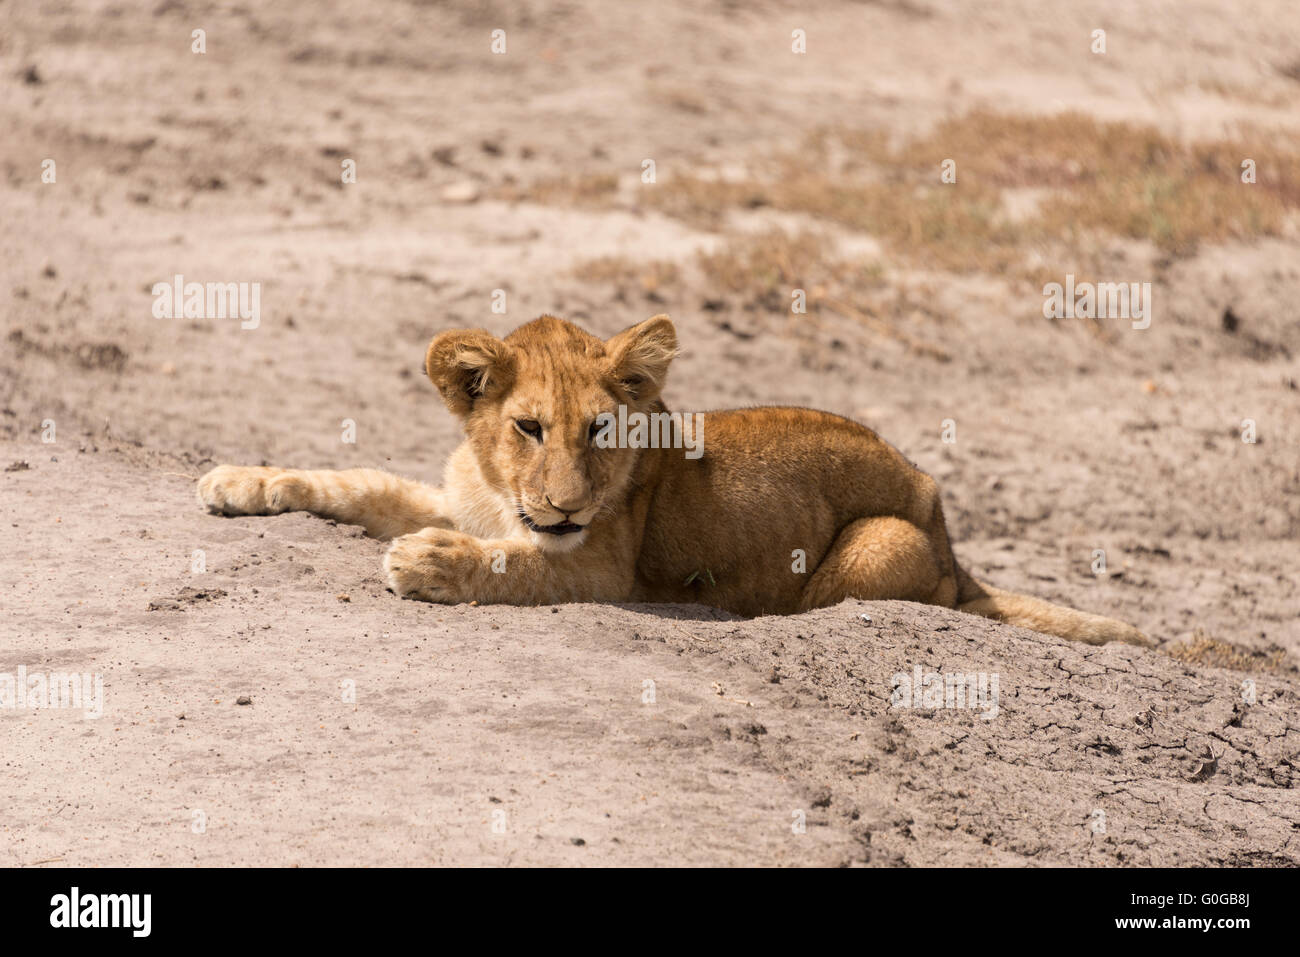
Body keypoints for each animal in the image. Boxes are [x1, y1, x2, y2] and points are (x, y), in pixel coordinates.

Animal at [197, 314, 1149, 645]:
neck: (502, 493)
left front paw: (427, 562)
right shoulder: (462, 496)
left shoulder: (602, 566)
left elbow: (511, 561)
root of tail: (952, 535)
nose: (563, 504)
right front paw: (239, 479)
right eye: (527, 427)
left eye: (600, 428)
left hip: (876, 544)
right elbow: (357, 480)